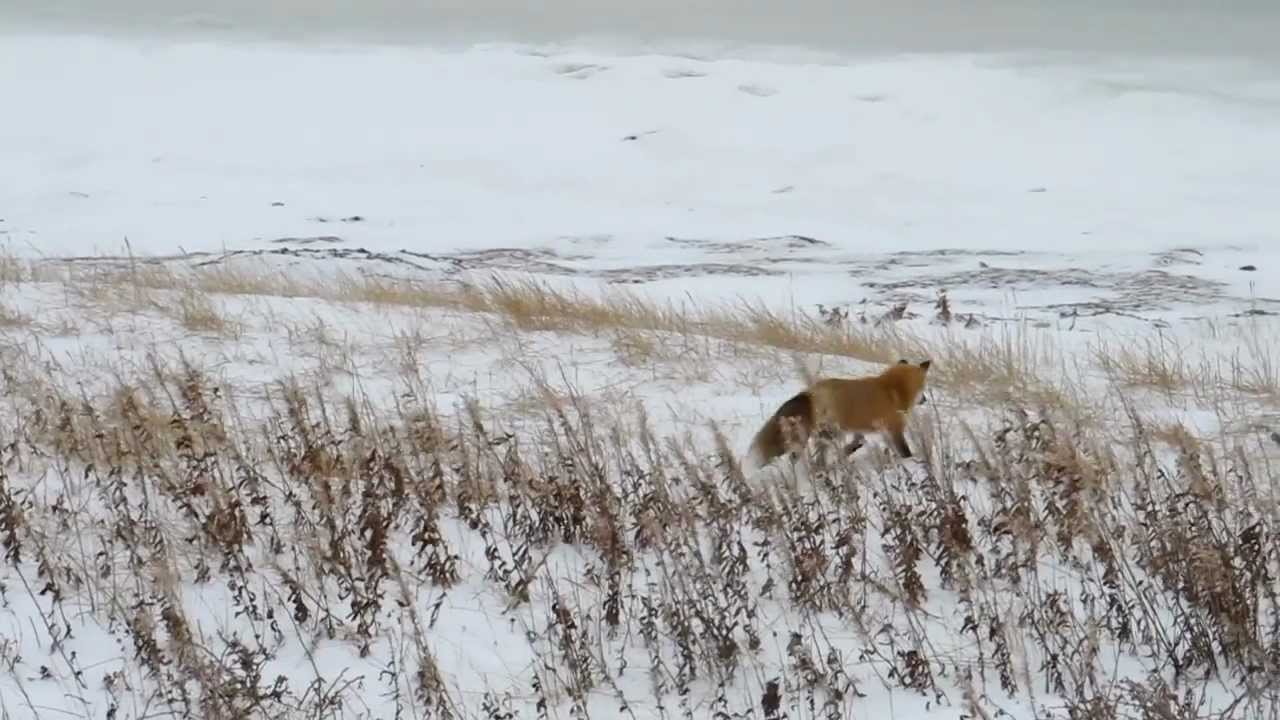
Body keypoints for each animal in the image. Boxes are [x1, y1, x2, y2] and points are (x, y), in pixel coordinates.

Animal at [744, 359, 932, 469]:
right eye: (924, 388)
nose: (925, 399)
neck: (893, 389)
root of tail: (808, 393)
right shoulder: (894, 429)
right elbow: (905, 451)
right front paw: (911, 462)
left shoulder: (863, 430)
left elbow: (858, 443)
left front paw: (843, 455)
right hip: (828, 433)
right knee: (798, 457)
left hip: (826, 434)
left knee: (814, 456)